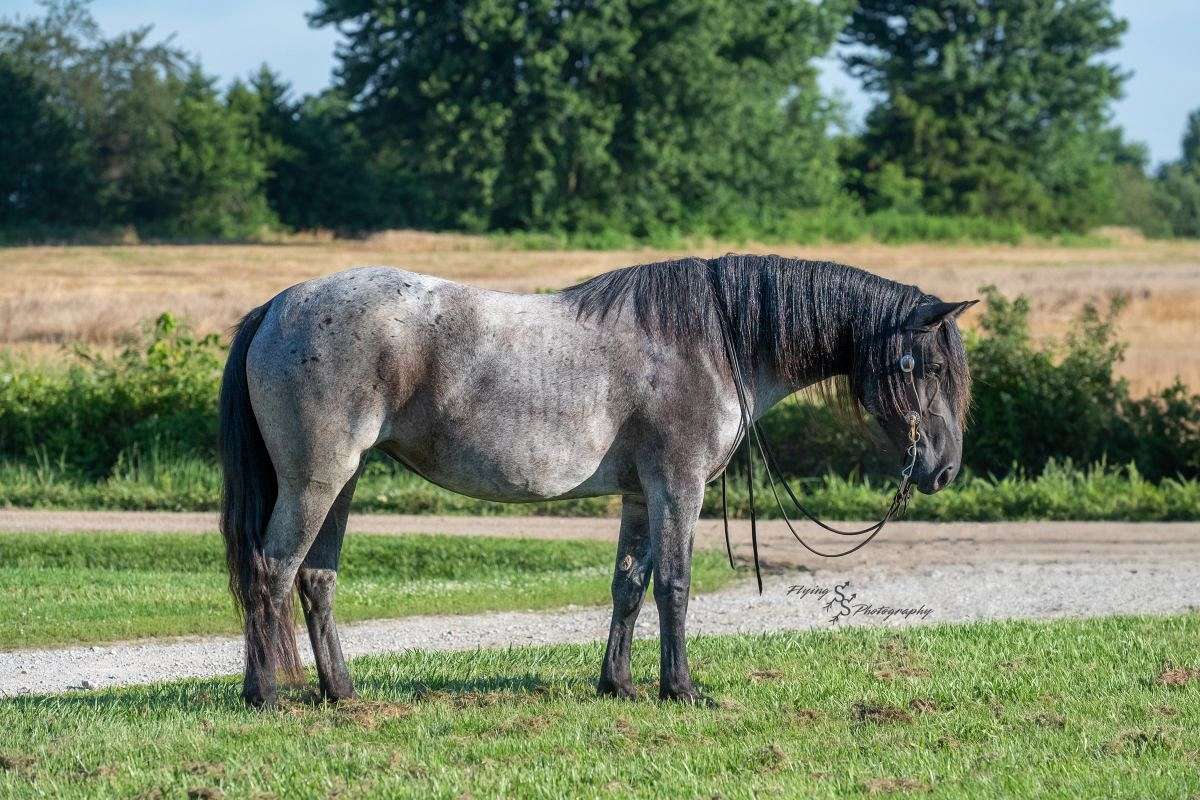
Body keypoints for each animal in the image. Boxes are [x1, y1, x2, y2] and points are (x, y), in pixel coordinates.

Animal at [219, 253, 974, 707]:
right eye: (929, 368)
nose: (942, 468)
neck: (711, 341)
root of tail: (278, 306)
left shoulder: (641, 494)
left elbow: (629, 585)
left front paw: (618, 684)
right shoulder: (678, 486)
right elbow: (674, 584)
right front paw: (681, 689)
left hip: (341, 484)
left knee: (316, 580)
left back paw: (342, 692)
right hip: (316, 481)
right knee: (271, 572)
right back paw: (266, 695)